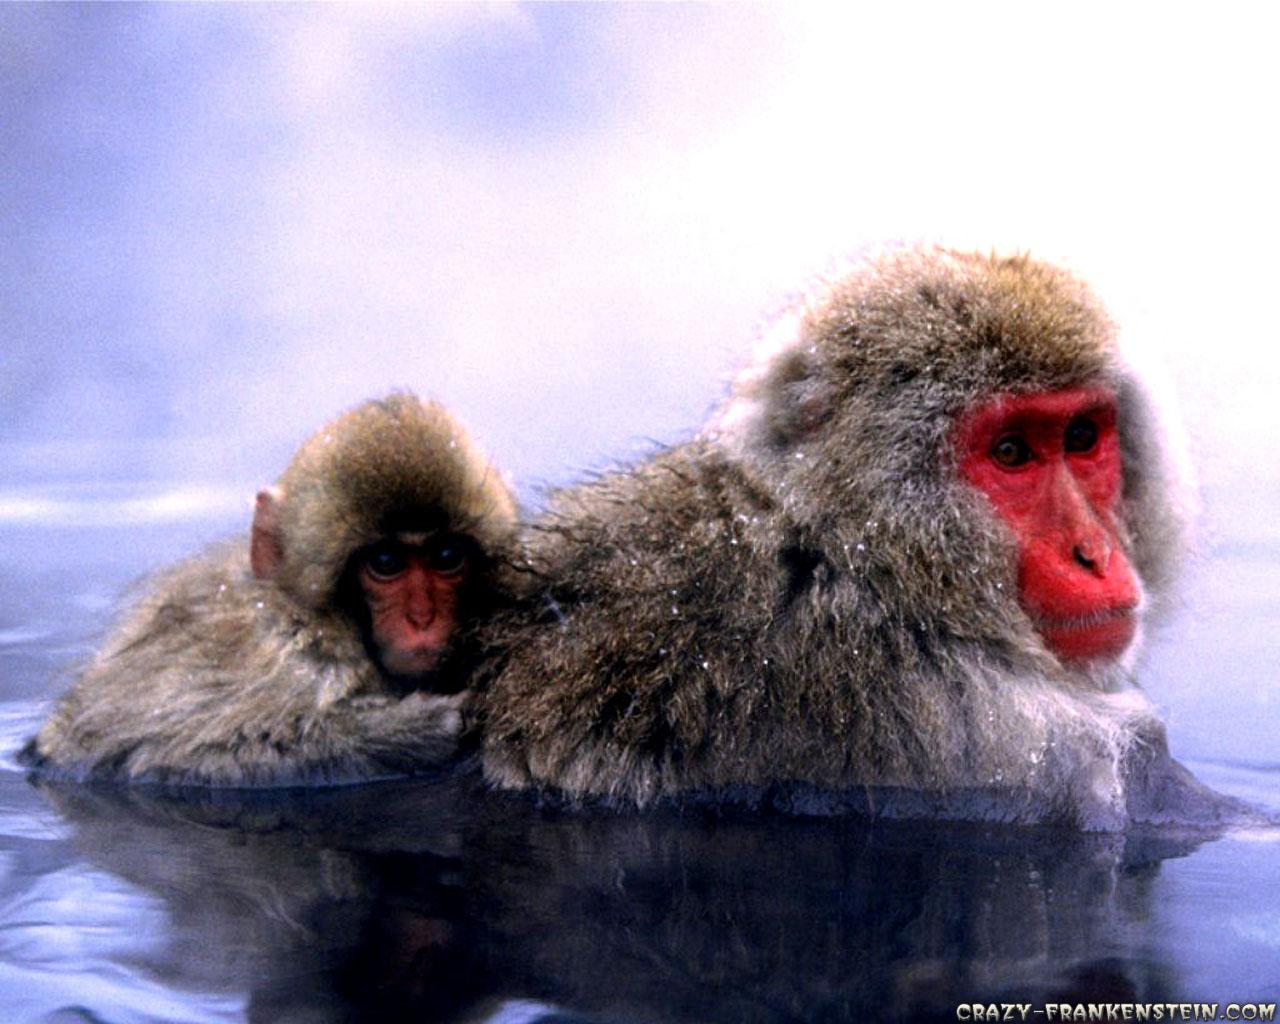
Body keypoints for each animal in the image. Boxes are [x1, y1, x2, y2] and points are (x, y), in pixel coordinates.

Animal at [22, 393, 517, 787]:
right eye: (386, 564)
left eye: (447, 556)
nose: (421, 617)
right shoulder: (289, 658)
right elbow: (160, 756)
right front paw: (408, 732)